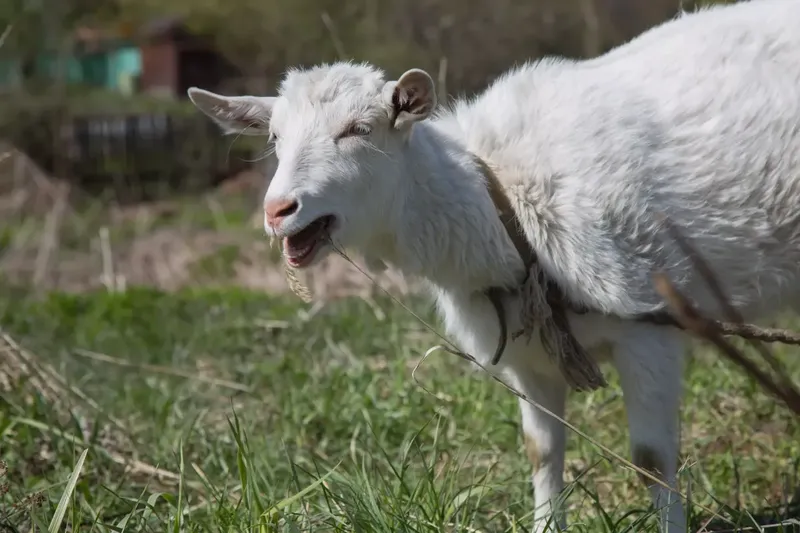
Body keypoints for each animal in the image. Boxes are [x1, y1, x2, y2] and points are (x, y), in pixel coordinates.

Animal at [187, 0, 800, 530]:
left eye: (358, 130)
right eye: (274, 136)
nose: (277, 210)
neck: (503, 205)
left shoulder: (646, 325)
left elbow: (650, 460)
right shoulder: (531, 356)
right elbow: (541, 451)